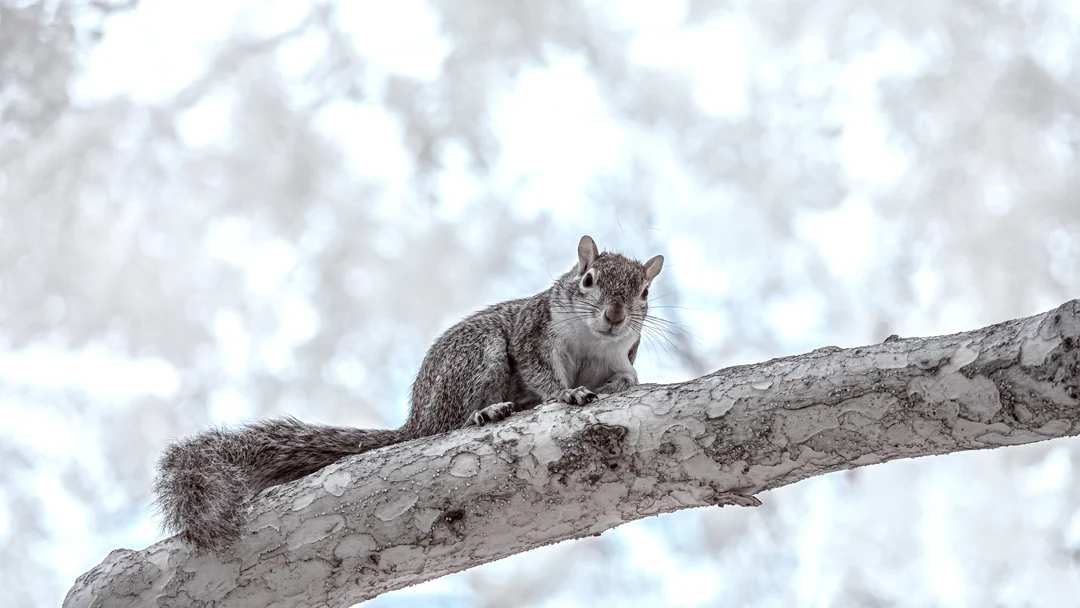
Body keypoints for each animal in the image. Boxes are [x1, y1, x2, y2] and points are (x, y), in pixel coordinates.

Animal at [153, 235, 664, 554]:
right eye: (588, 280)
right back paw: (488, 412)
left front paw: (619, 385)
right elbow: (540, 370)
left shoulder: (621, 354)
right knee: (452, 422)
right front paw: (567, 393)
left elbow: (624, 377)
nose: (615, 316)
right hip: (478, 355)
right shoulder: (533, 333)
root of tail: (418, 419)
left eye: (643, 292)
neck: (591, 342)